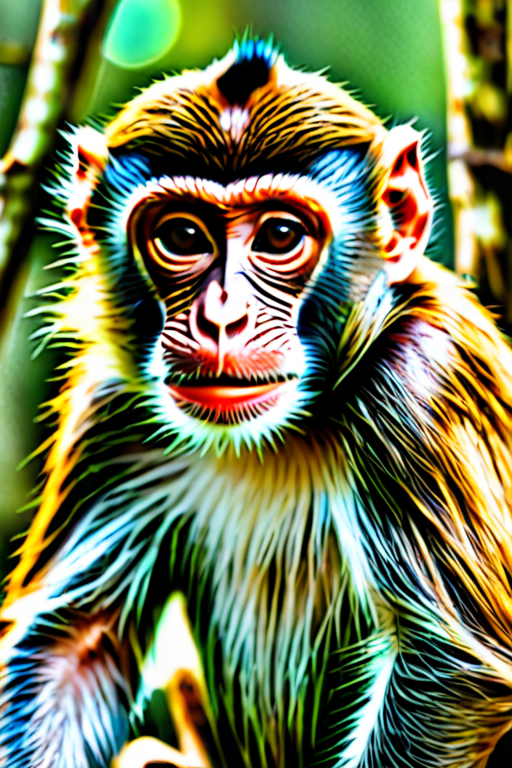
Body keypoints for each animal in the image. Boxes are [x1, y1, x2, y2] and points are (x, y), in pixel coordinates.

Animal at [1, 35, 512, 768]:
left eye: (279, 236)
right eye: (183, 237)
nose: (222, 319)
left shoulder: (420, 379)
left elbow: (450, 665)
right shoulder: (112, 409)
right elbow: (71, 643)